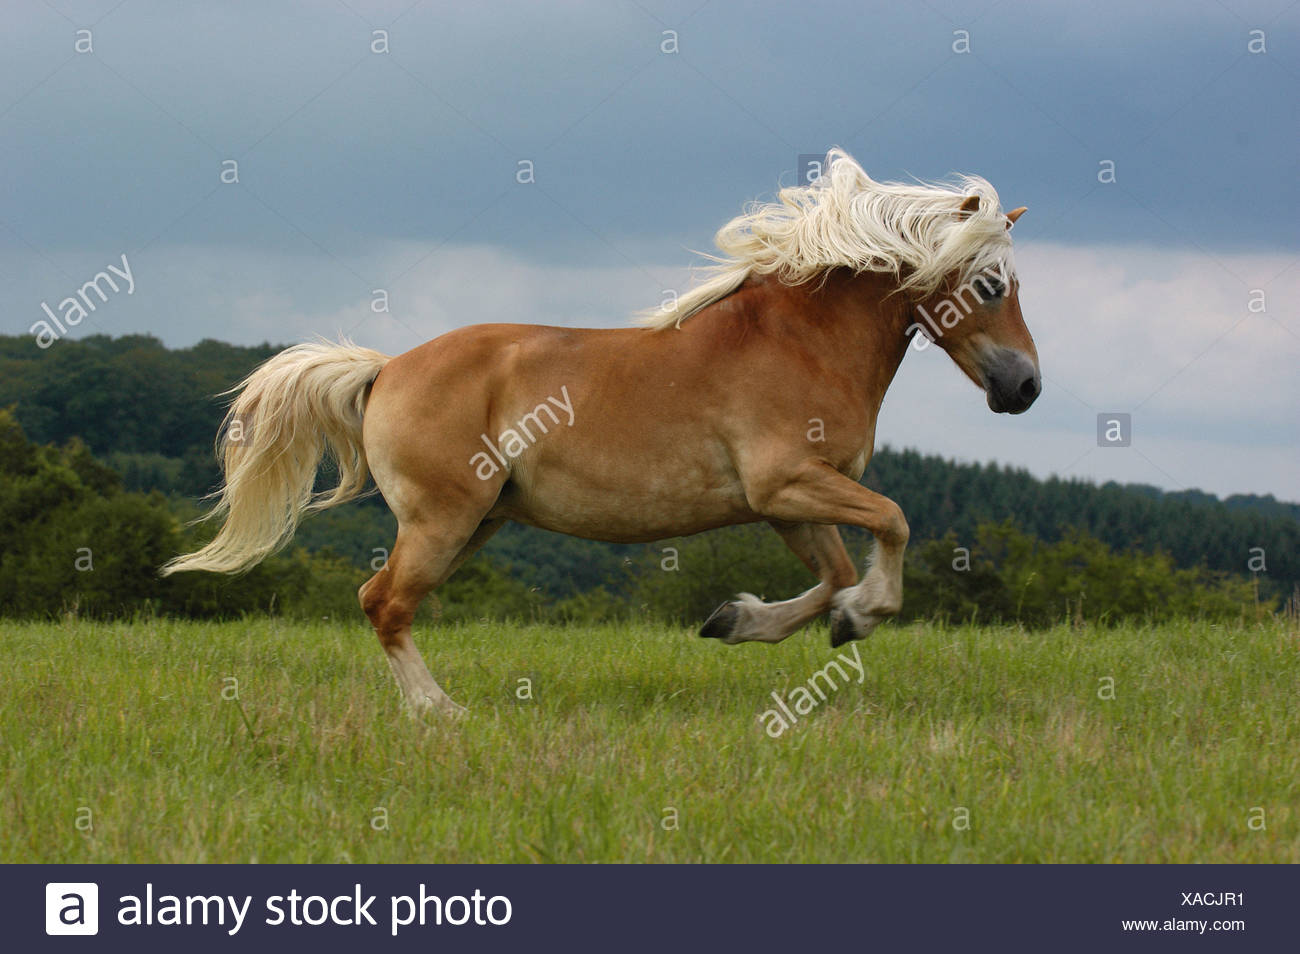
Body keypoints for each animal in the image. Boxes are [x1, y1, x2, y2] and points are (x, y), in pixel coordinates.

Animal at [162, 148, 1039, 718]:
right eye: (991, 286)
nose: (1026, 388)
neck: (802, 339)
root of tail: (386, 369)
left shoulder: (789, 504)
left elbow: (831, 575)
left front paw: (747, 620)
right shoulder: (787, 483)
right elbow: (893, 523)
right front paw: (864, 613)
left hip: (476, 524)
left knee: (386, 602)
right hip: (443, 520)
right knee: (384, 603)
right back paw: (441, 714)